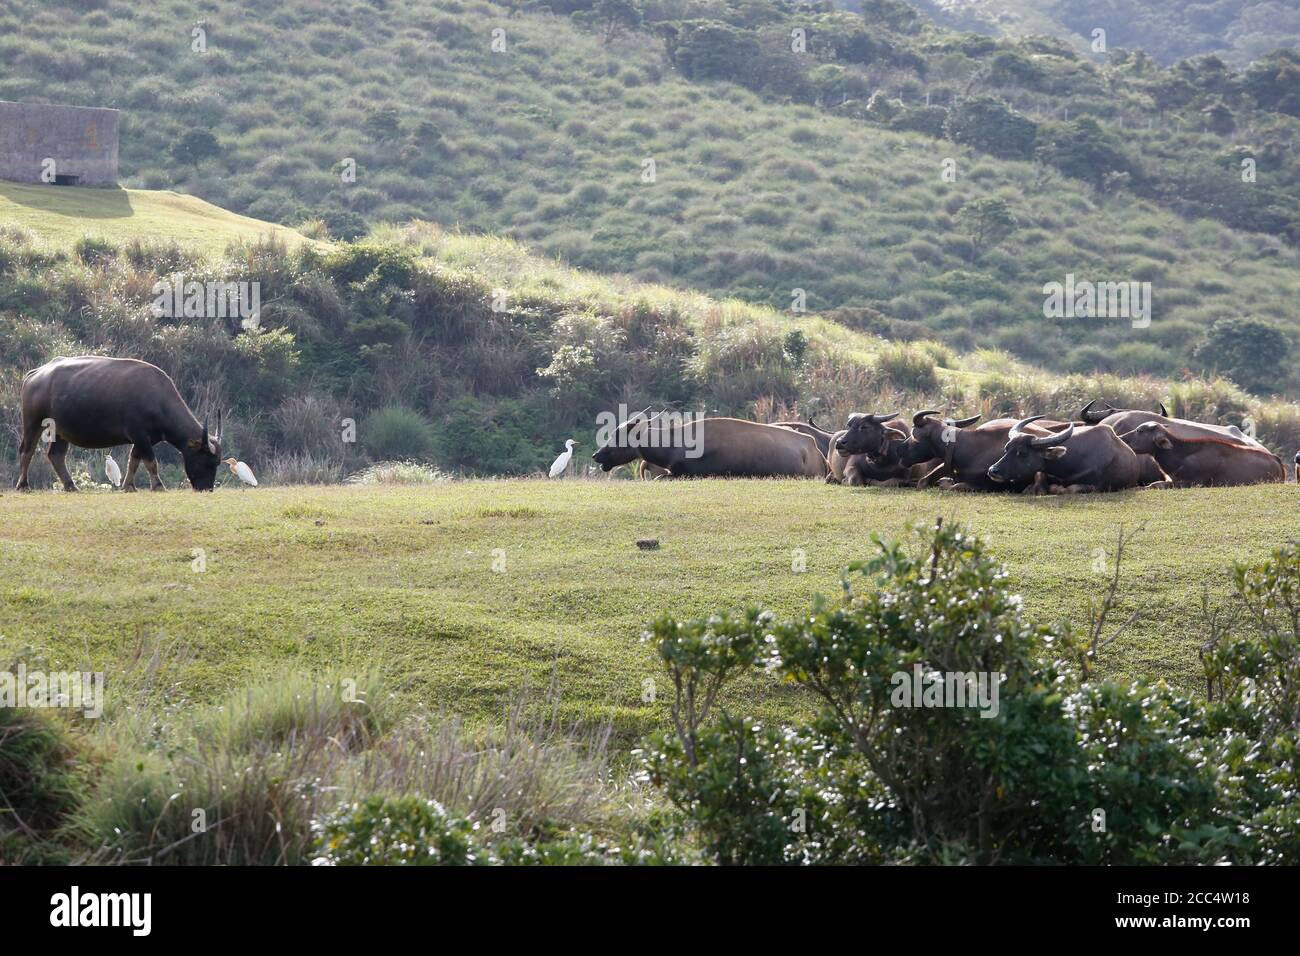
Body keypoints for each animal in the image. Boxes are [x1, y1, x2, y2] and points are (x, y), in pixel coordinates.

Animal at [16, 356, 222, 492]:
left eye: (217, 462)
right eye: (206, 460)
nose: (207, 488)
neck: (159, 399)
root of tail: (36, 374)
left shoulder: (145, 439)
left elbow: (134, 461)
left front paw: (129, 486)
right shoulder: (140, 435)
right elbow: (151, 462)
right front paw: (158, 486)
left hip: (60, 431)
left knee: (56, 455)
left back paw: (71, 486)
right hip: (33, 423)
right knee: (27, 451)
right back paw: (23, 485)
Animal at [987, 416, 1153, 493]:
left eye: (1022, 453)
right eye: (1006, 448)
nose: (993, 470)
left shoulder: (1097, 486)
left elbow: (1069, 489)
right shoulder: (1041, 473)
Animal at [1119, 422, 1285, 486]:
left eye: (1140, 431)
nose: (1121, 437)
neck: (1181, 456)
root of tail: (1276, 459)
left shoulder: (1190, 483)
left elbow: (1155, 485)